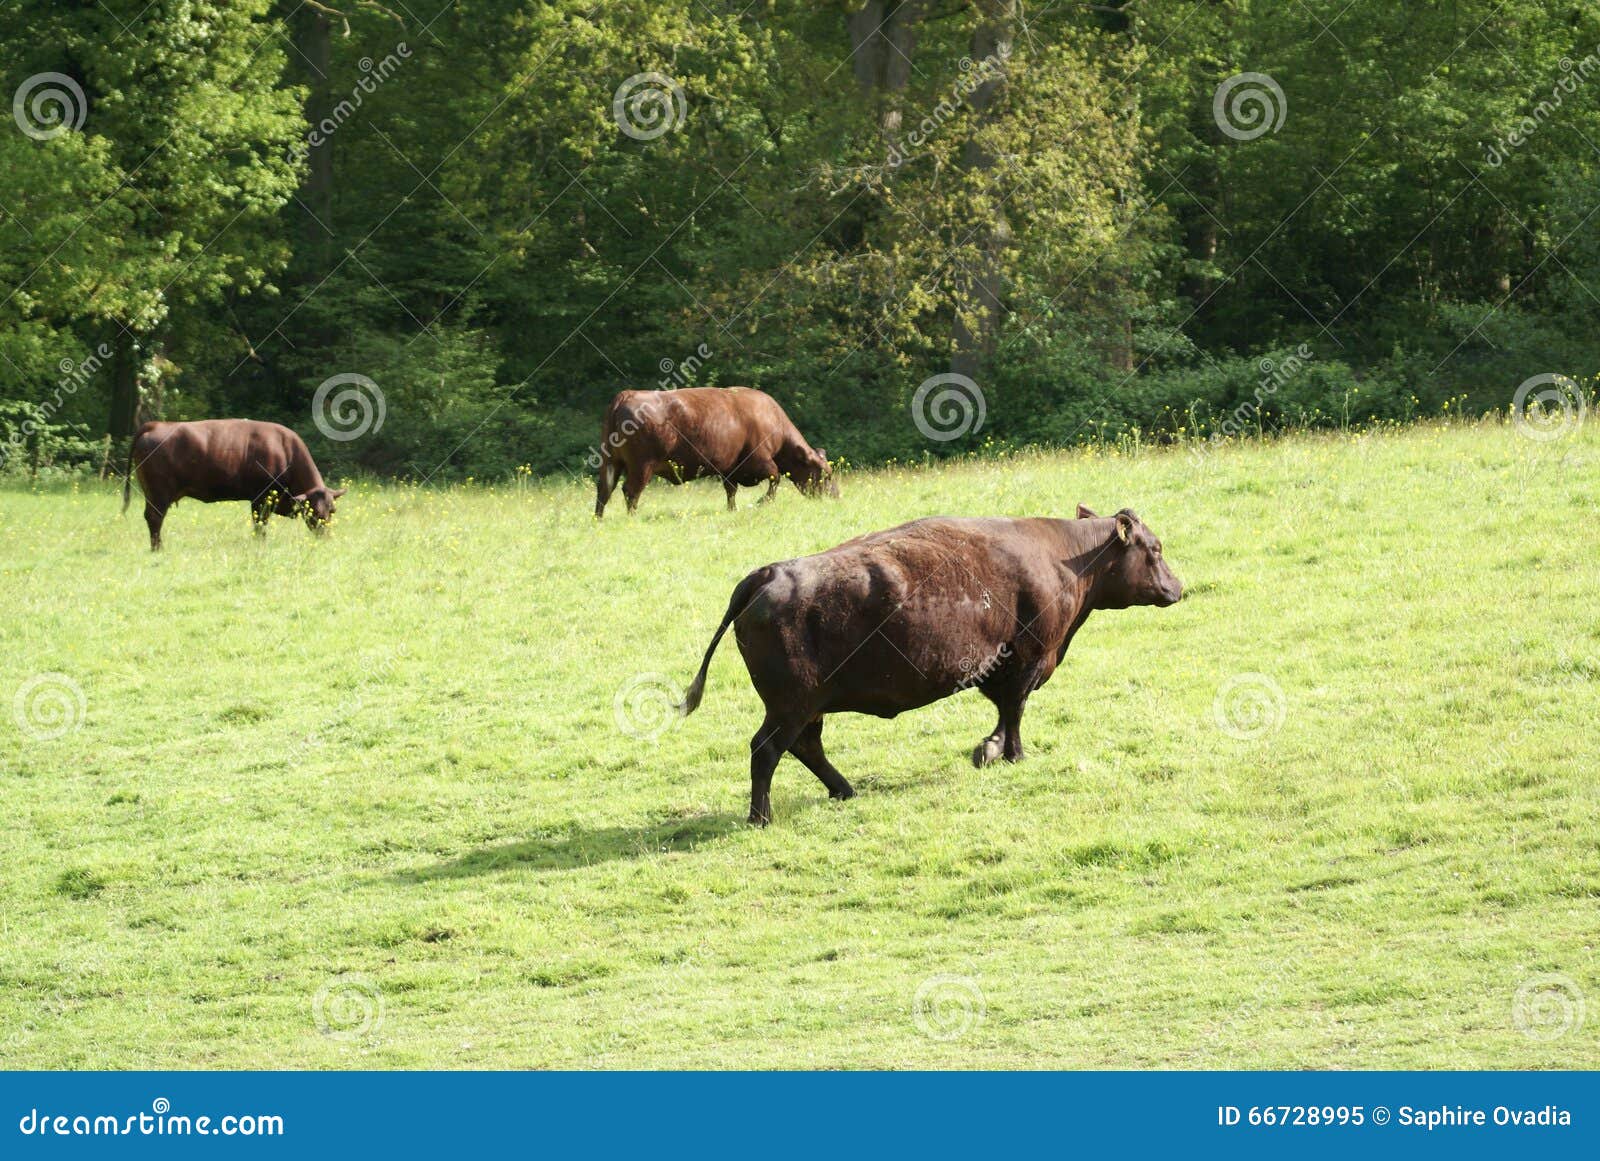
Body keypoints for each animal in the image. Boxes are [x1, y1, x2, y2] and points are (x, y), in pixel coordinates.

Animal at [123, 419, 345, 550]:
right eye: (313, 511)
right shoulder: (261, 498)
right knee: (155, 518)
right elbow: (260, 525)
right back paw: (158, 548)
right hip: (159, 494)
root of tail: (156, 424)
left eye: (332, 510)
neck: (285, 451)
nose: (325, 537)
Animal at [594, 386, 838, 517]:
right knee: (630, 491)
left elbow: (731, 491)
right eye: (826, 475)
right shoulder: (761, 460)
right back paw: (632, 517)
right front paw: (762, 502)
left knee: (604, 490)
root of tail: (626, 395)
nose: (836, 496)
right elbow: (775, 477)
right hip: (642, 466)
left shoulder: (729, 469)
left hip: (611, 462)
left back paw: (599, 519)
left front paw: (732, 509)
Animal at [677, 506, 1182, 824]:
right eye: (1155, 549)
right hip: (790, 706)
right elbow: (1014, 711)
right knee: (767, 750)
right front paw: (1009, 753)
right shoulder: (1027, 659)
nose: (1177, 588)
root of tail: (768, 574)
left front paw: (991, 749)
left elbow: (1004, 712)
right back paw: (761, 817)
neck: (1064, 557)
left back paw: (844, 789)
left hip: (806, 707)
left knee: (806, 747)